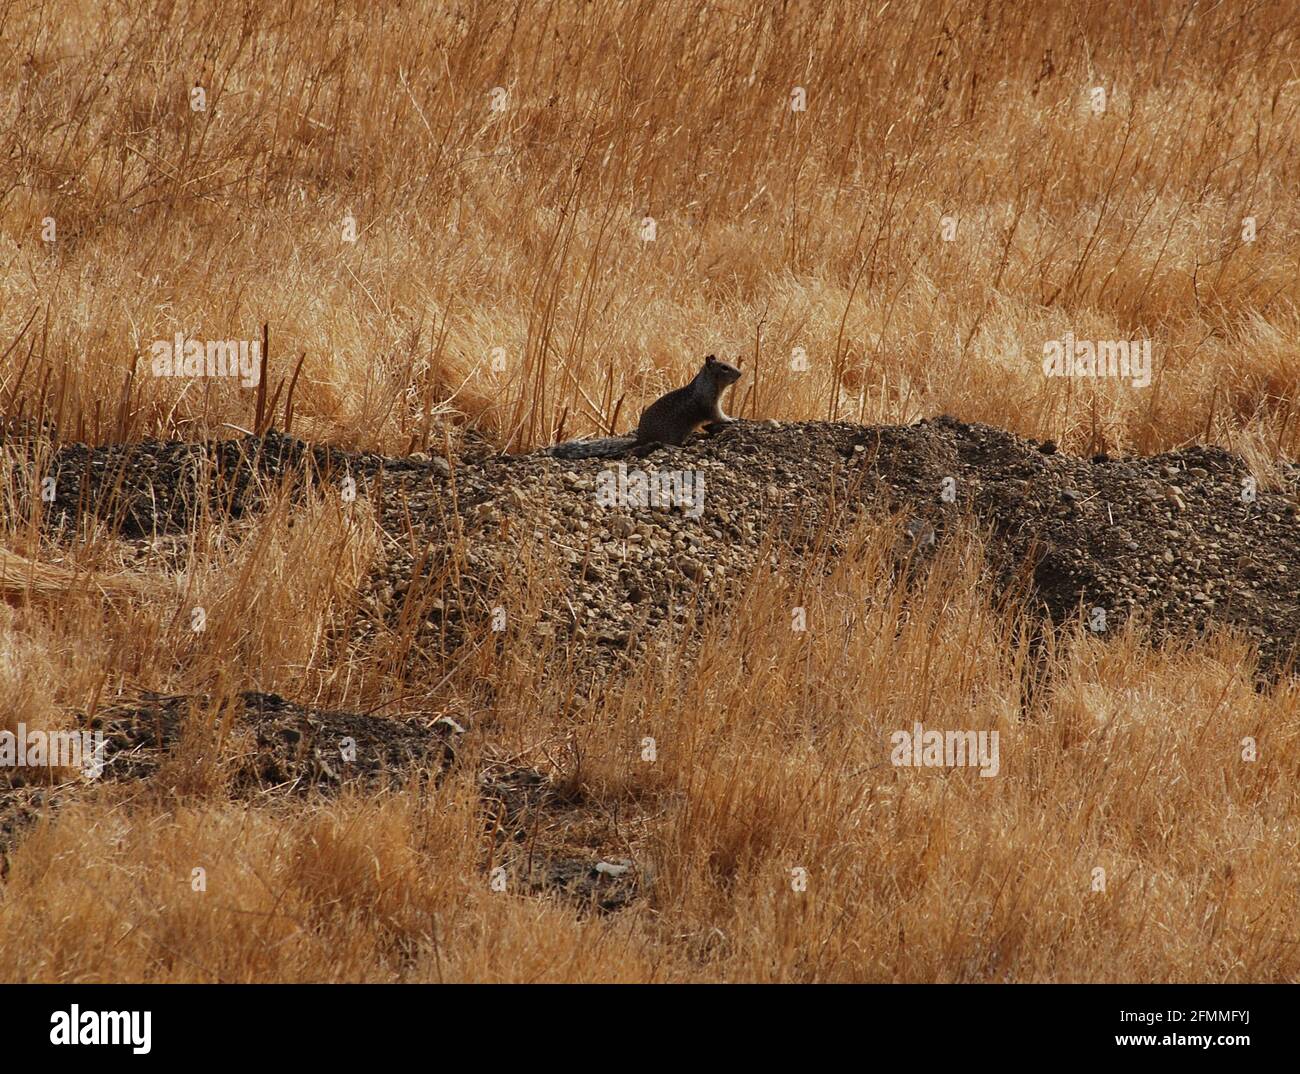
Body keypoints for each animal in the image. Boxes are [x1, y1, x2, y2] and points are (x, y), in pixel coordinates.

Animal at [549, 354, 743, 459]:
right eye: (724, 367)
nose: (740, 373)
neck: (708, 383)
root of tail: (640, 439)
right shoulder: (709, 403)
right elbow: (717, 415)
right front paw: (731, 419)